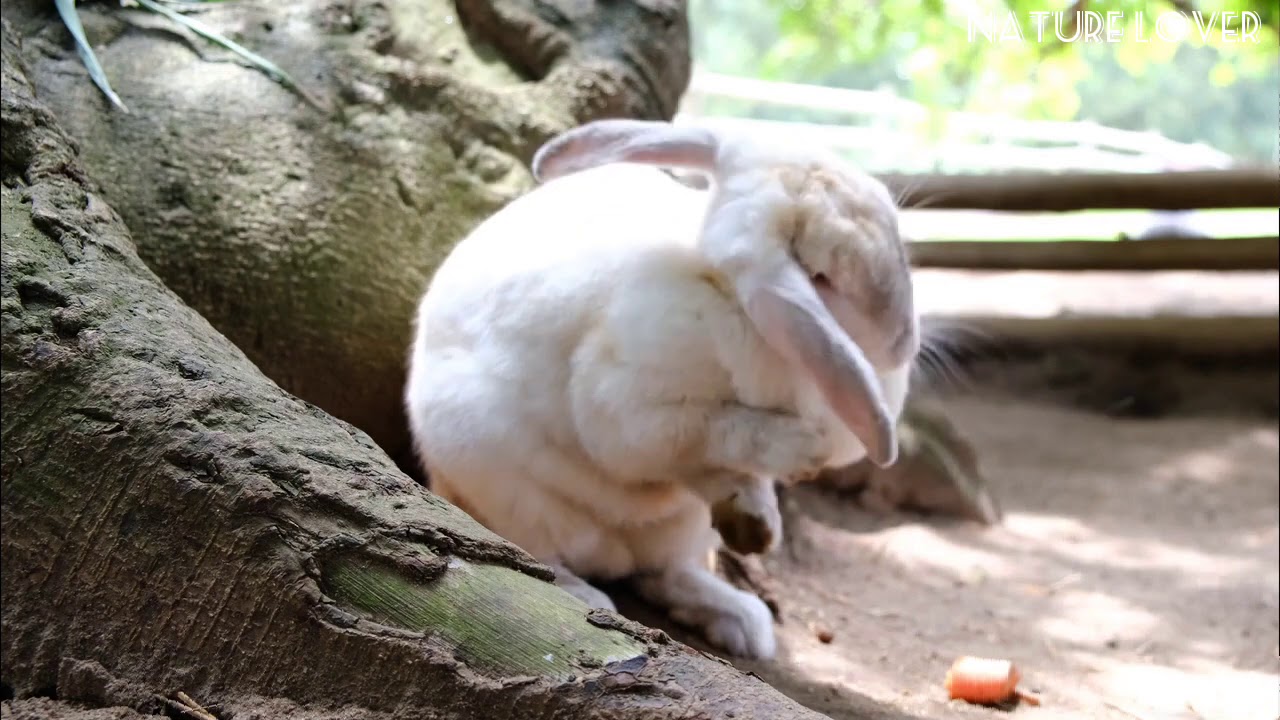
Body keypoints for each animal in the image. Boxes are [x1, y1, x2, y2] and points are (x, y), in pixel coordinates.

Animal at [404, 119, 919, 660]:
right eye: (821, 277)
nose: (904, 343)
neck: (725, 293)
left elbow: (718, 470)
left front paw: (761, 520)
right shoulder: (629, 409)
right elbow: (709, 432)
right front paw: (803, 448)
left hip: (682, 530)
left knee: (664, 575)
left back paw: (745, 619)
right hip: (514, 498)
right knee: (529, 556)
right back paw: (588, 595)